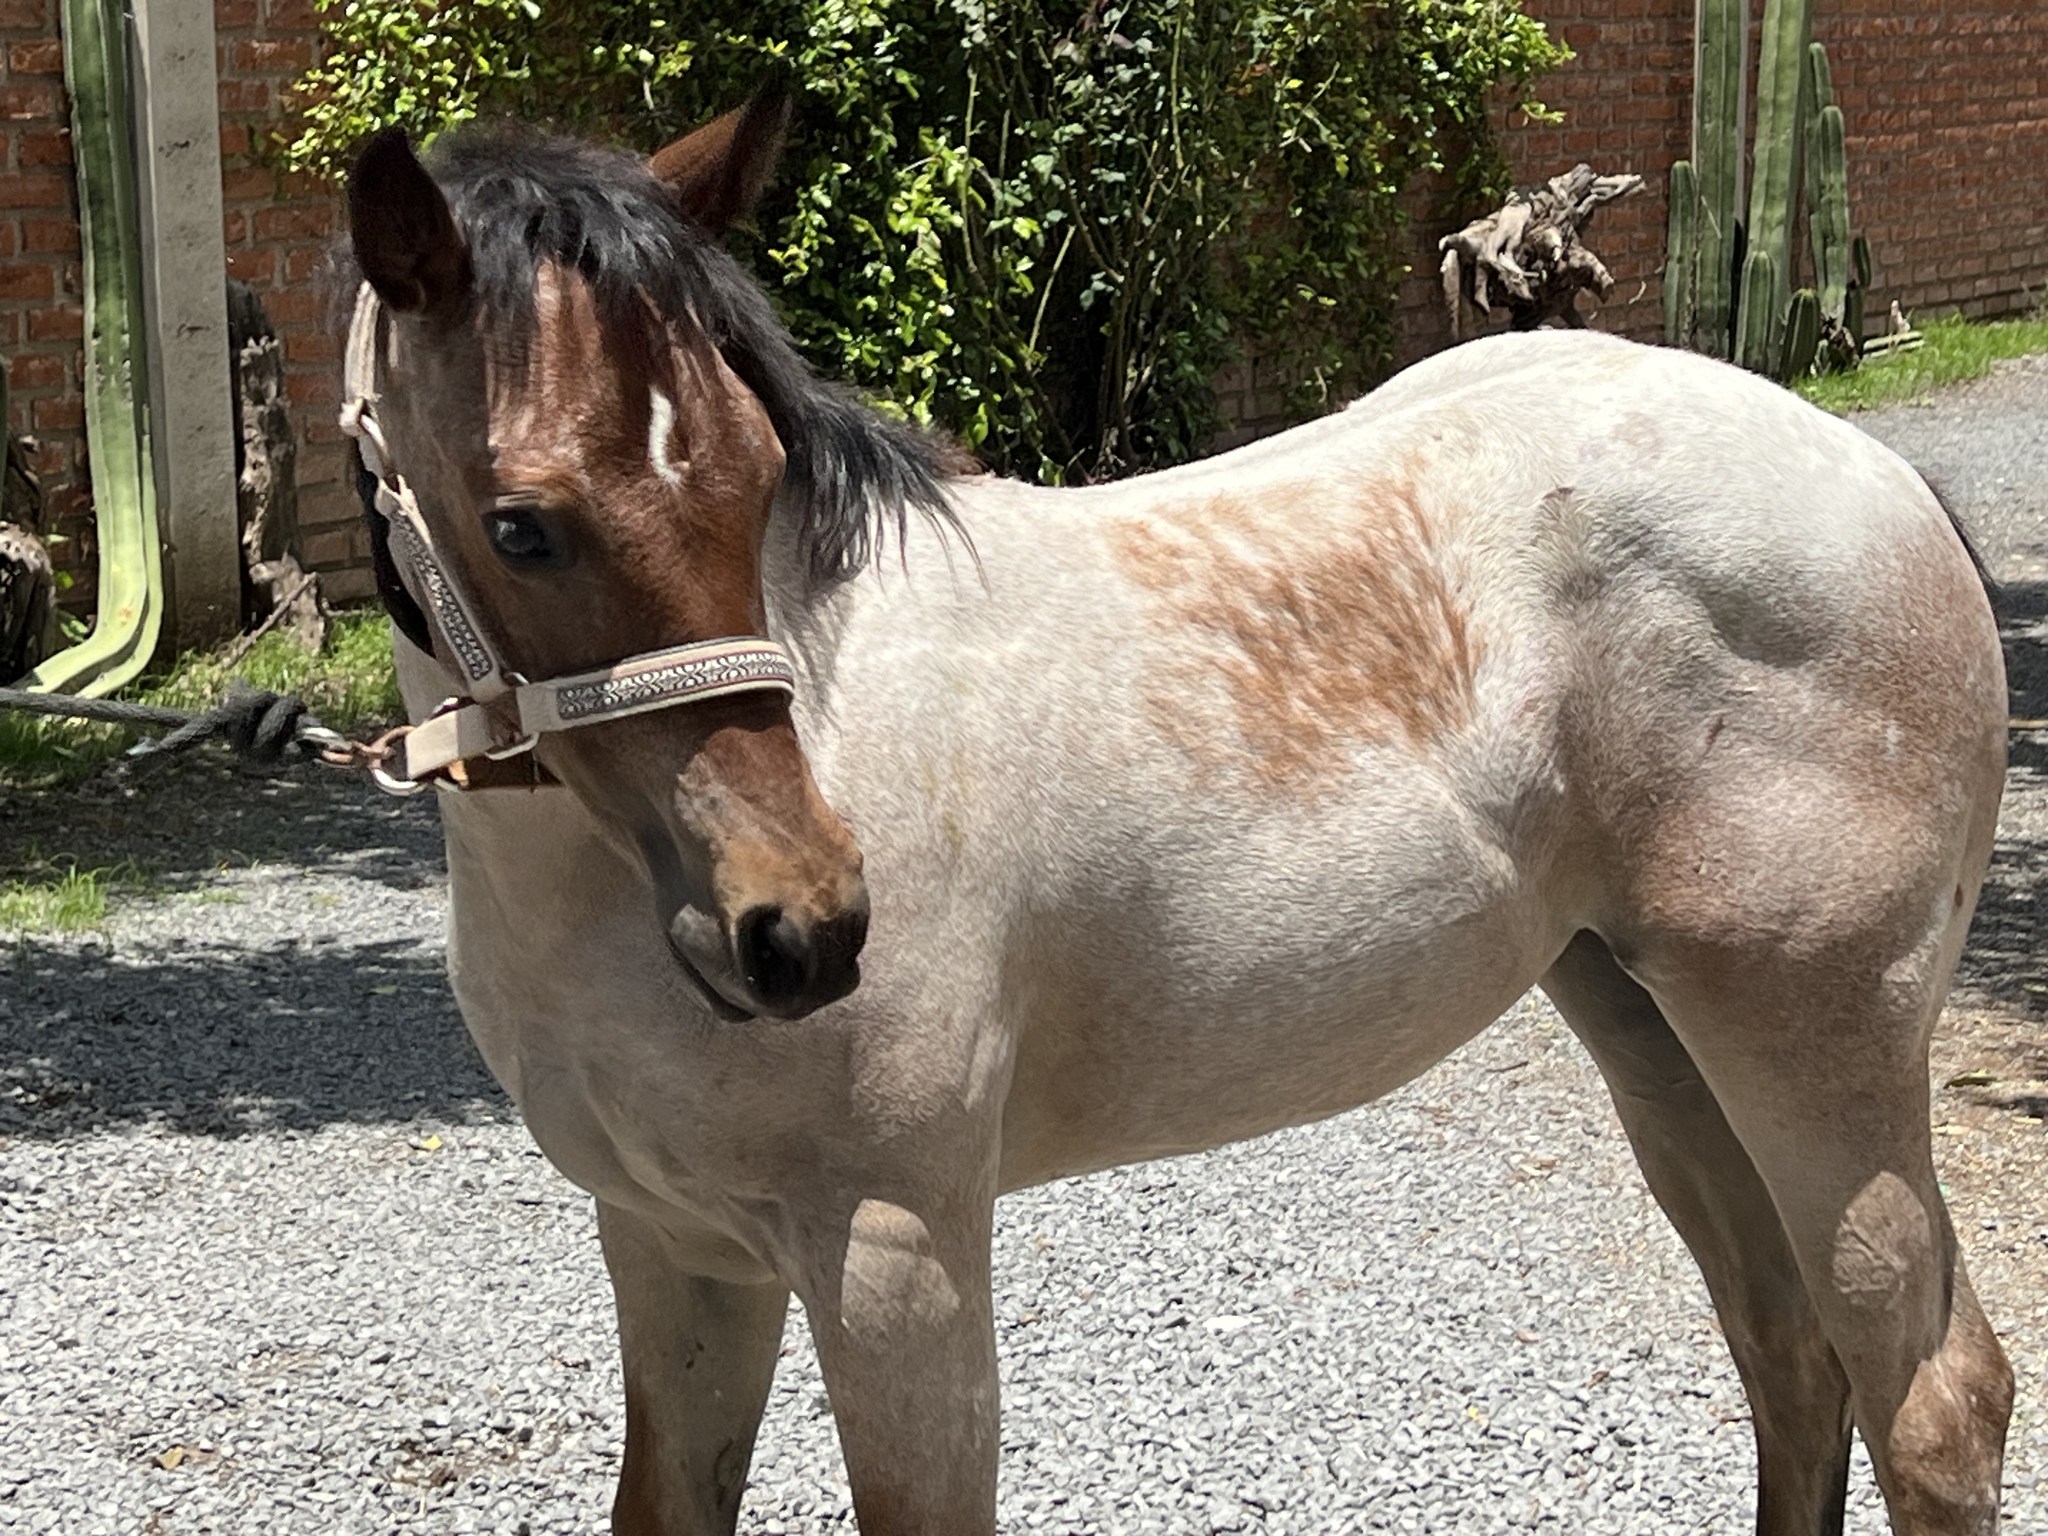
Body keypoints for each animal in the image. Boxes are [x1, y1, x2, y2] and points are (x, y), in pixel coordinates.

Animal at [339, 92, 2012, 1536]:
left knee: (1936, 1400)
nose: (799, 927)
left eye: (759, 478)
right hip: (1649, 1025)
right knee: (1792, 1359)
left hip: (1817, 1046)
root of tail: (1882, 478)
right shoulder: (674, 1249)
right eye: (521, 525)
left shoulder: (895, 1255)